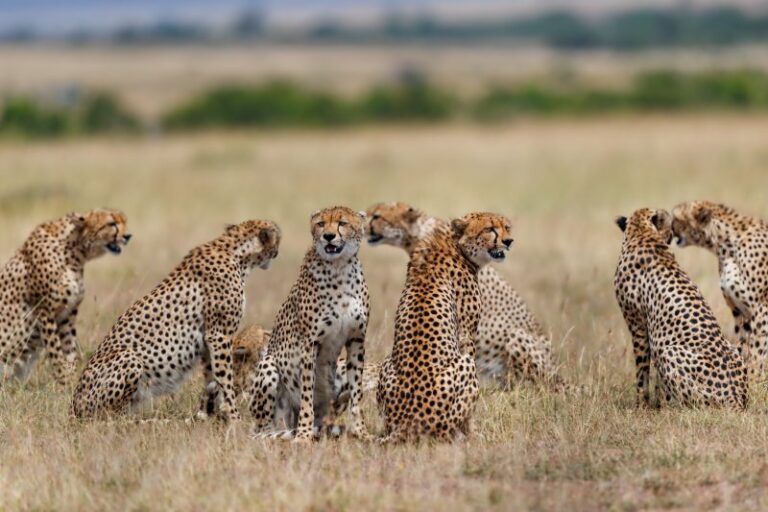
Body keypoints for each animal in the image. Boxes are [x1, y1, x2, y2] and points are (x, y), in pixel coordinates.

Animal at [0, 208, 131, 385]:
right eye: (111, 223)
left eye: (124, 221)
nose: (128, 236)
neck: (75, 252)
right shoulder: (45, 311)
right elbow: (56, 351)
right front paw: (64, 381)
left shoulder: (68, 314)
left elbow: (69, 350)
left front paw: (71, 379)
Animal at [70, 219, 280, 420]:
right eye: (277, 237)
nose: (277, 251)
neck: (237, 252)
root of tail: (73, 406)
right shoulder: (219, 335)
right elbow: (225, 378)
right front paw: (234, 417)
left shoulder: (208, 341)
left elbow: (212, 379)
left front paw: (209, 414)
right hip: (130, 359)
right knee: (108, 417)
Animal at [376, 211, 514, 442]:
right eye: (489, 229)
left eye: (507, 227)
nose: (509, 241)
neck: (454, 243)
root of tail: (405, 424)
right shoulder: (467, 336)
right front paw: (474, 433)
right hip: (466, 365)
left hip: (387, 363)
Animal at [614, 207, 747, 409]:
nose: (675, 233)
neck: (641, 232)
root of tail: (736, 399)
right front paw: (656, 404)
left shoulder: (637, 325)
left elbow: (642, 371)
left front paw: (641, 406)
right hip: (735, 350)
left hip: (669, 352)